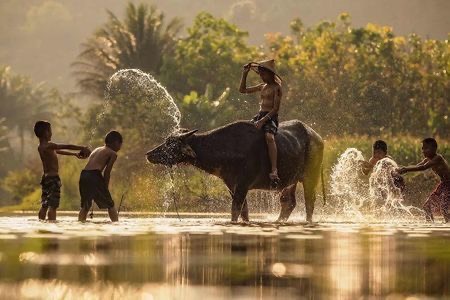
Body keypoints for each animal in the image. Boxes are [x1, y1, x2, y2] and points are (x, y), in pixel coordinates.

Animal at [146, 120, 326, 223]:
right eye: (167, 140)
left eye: (171, 144)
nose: (149, 154)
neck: (227, 149)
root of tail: (318, 138)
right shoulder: (232, 186)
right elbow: (244, 212)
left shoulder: (242, 186)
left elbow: (235, 211)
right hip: (290, 181)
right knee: (288, 202)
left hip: (310, 177)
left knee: (309, 202)